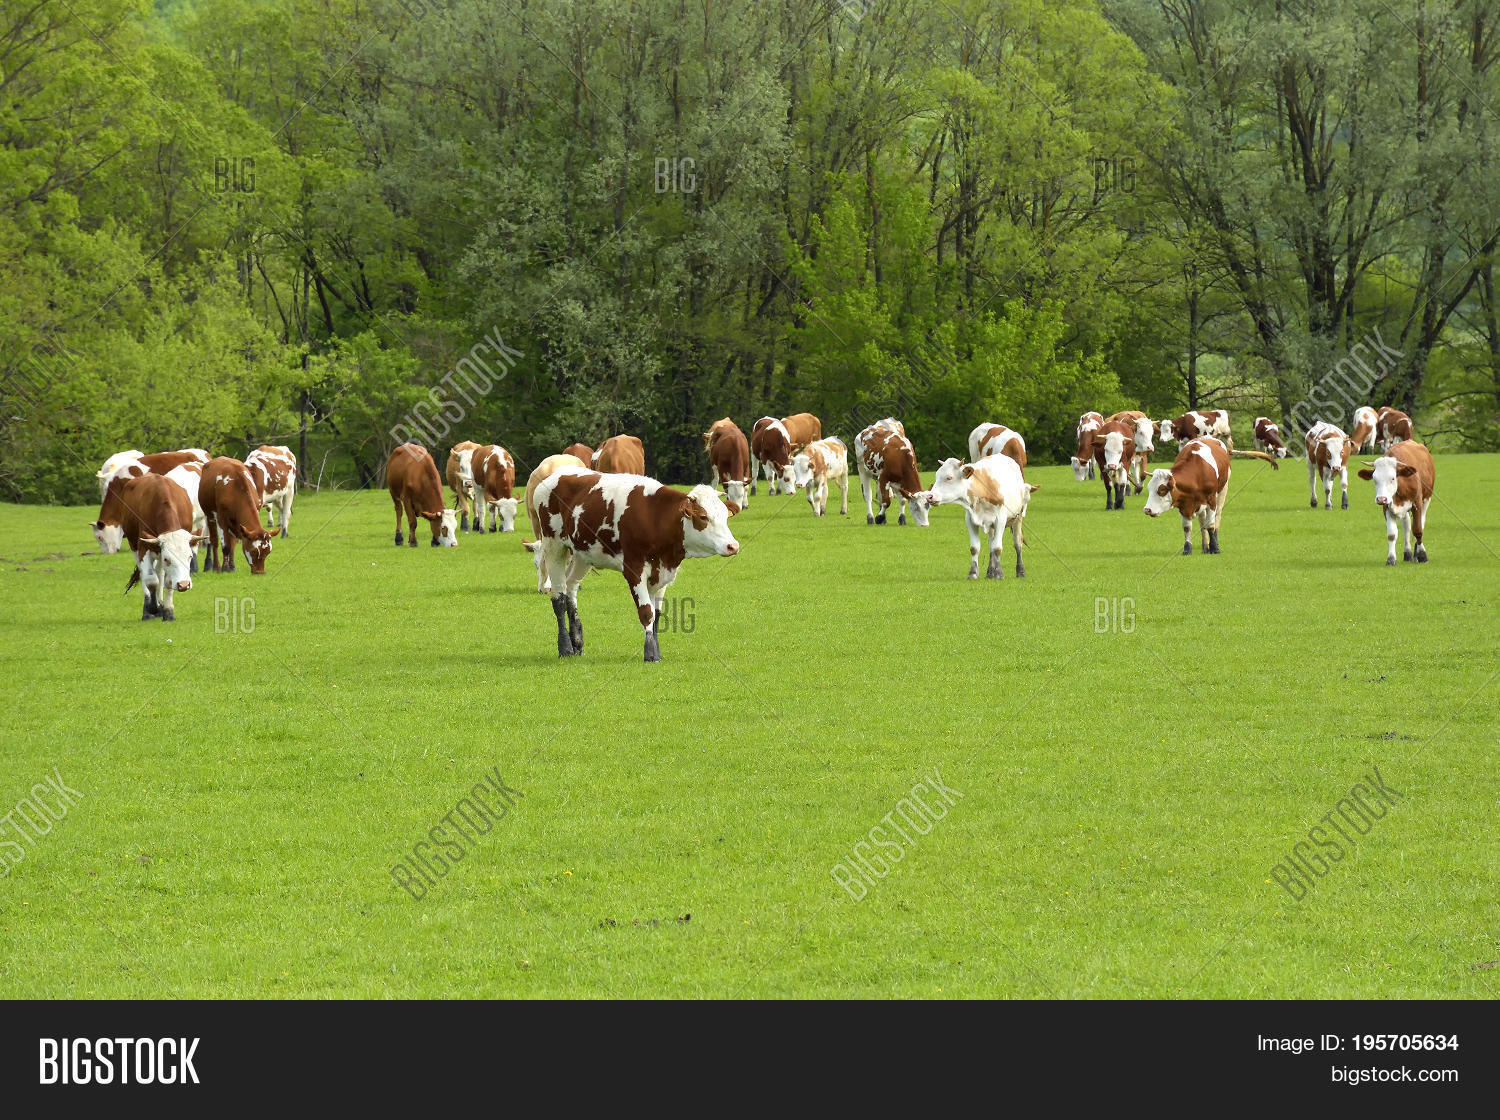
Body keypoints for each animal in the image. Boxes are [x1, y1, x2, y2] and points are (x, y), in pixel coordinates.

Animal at [118, 473, 203, 622]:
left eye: (190, 557)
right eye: (167, 559)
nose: (184, 584)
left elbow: (167, 582)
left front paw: (168, 611)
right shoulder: (144, 548)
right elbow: (151, 580)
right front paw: (152, 608)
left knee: (160, 573)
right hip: (134, 546)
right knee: (145, 574)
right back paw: (149, 609)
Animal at [530, 467, 740, 661]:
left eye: (725, 516)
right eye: (704, 517)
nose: (733, 546)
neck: (655, 516)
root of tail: (558, 472)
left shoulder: (663, 572)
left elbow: (656, 614)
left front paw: (657, 651)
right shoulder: (634, 569)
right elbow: (647, 612)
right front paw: (650, 654)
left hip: (582, 554)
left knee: (570, 588)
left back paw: (577, 644)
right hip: (553, 546)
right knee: (558, 596)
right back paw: (565, 647)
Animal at [1142, 438, 1278, 554]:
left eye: (1162, 490)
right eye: (1149, 489)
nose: (1147, 510)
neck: (1196, 473)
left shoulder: (1211, 501)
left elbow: (1211, 525)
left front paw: (1215, 548)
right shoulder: (1183, 505)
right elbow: (1187, 527)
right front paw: (1187, 549)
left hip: (1222, 492)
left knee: (1216, 518)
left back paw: (1213, 544)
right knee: (1203, 522)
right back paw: (1205, 546)